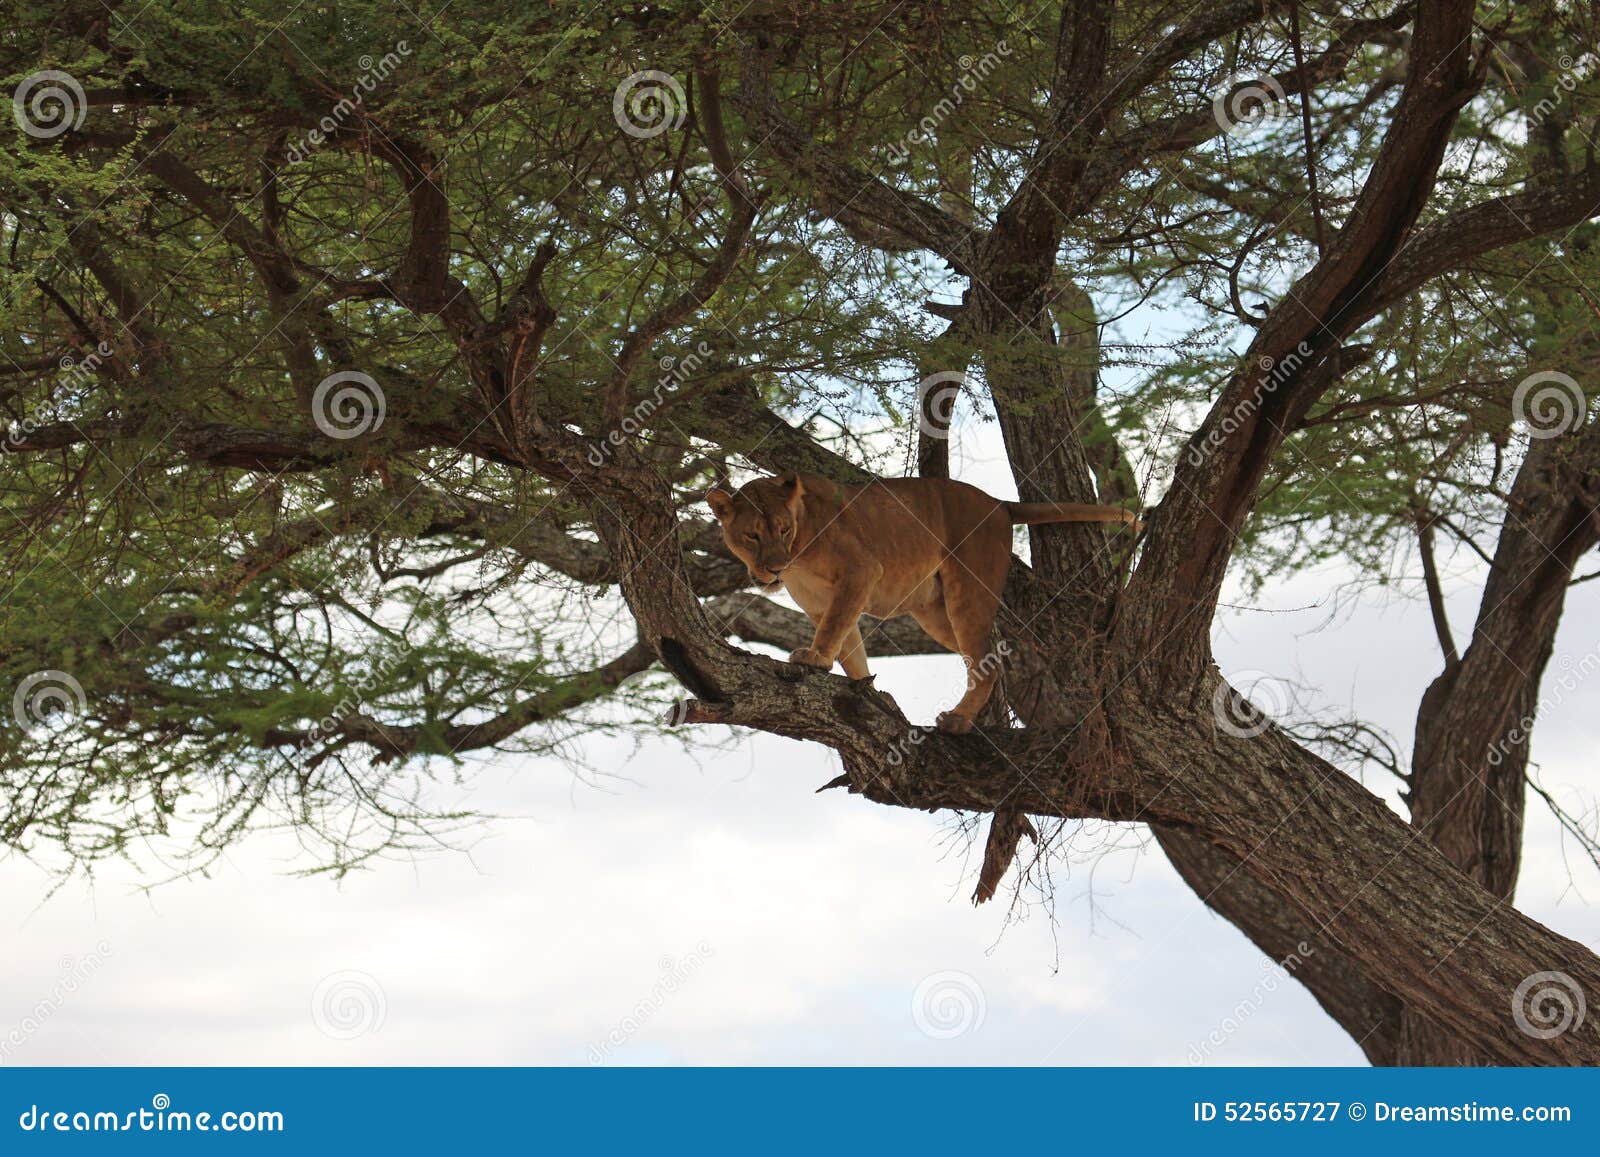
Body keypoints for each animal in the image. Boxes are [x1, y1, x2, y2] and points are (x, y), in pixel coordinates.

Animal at [707, 471, 1138, 733]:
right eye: (751, 535)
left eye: (782, 529)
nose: (775, 569)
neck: (798, 549)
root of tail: (998, 502)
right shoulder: (819, 601)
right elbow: (849, 644)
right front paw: (865, 688)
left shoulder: (861, 571)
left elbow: (834, 627)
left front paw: (814, 659)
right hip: (933, 612)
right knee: (988, 657)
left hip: (967, 592)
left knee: (987, 657)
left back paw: (959, 721)